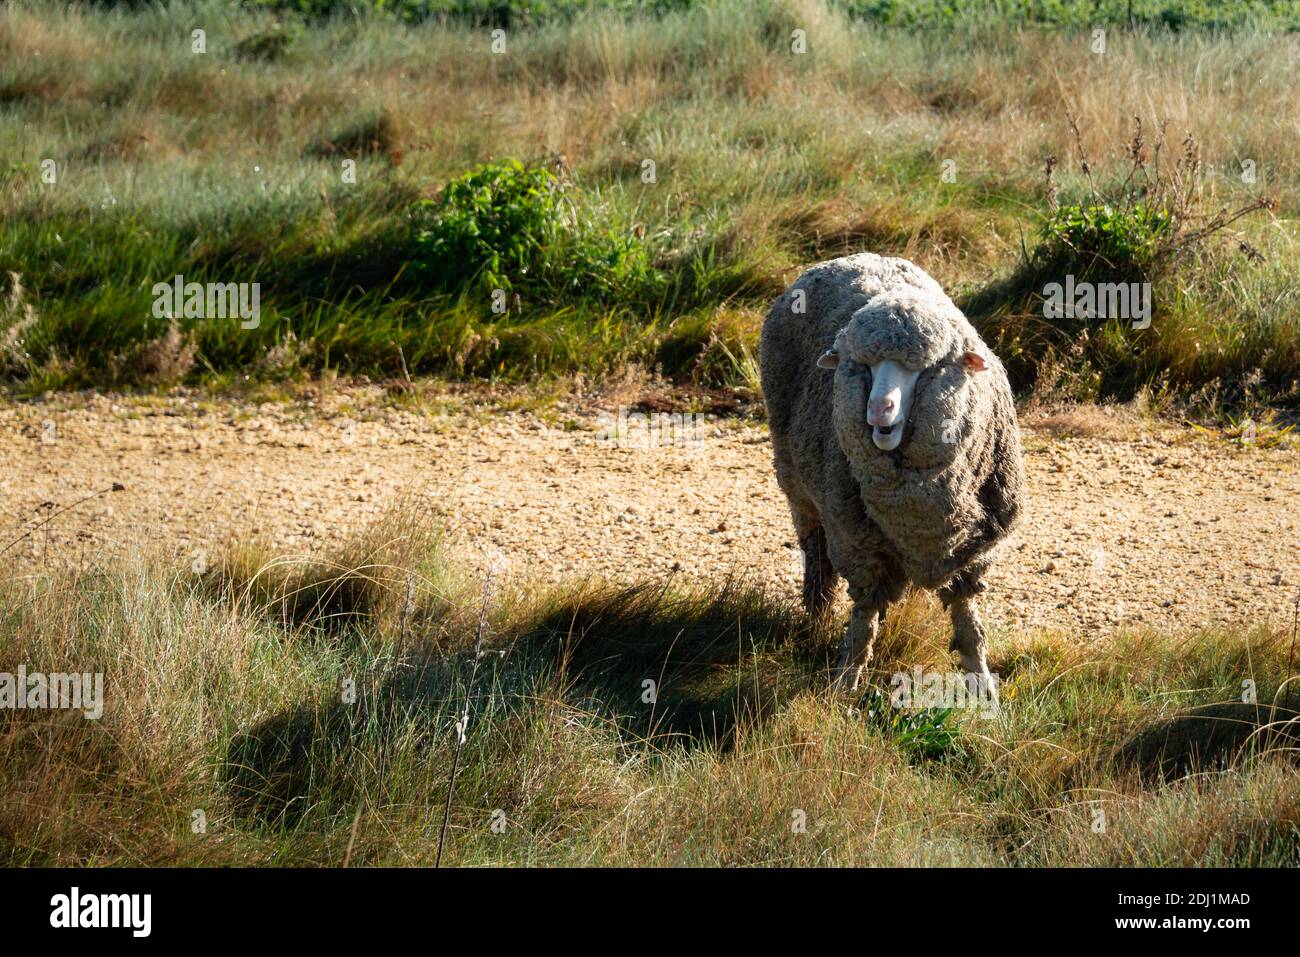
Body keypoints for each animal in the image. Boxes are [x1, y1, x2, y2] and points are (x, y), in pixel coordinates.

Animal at [760, 252, 1026, 693]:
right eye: (863, 366)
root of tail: (852, 256)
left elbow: (967, 619)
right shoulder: (857, 544)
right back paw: (816, 617)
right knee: (816, 556)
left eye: (924, 368)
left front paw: (981, 680)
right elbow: (863, 617)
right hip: (798, 488)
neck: (915, 508)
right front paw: (846, 681)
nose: (878, 409)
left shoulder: (972, 551)